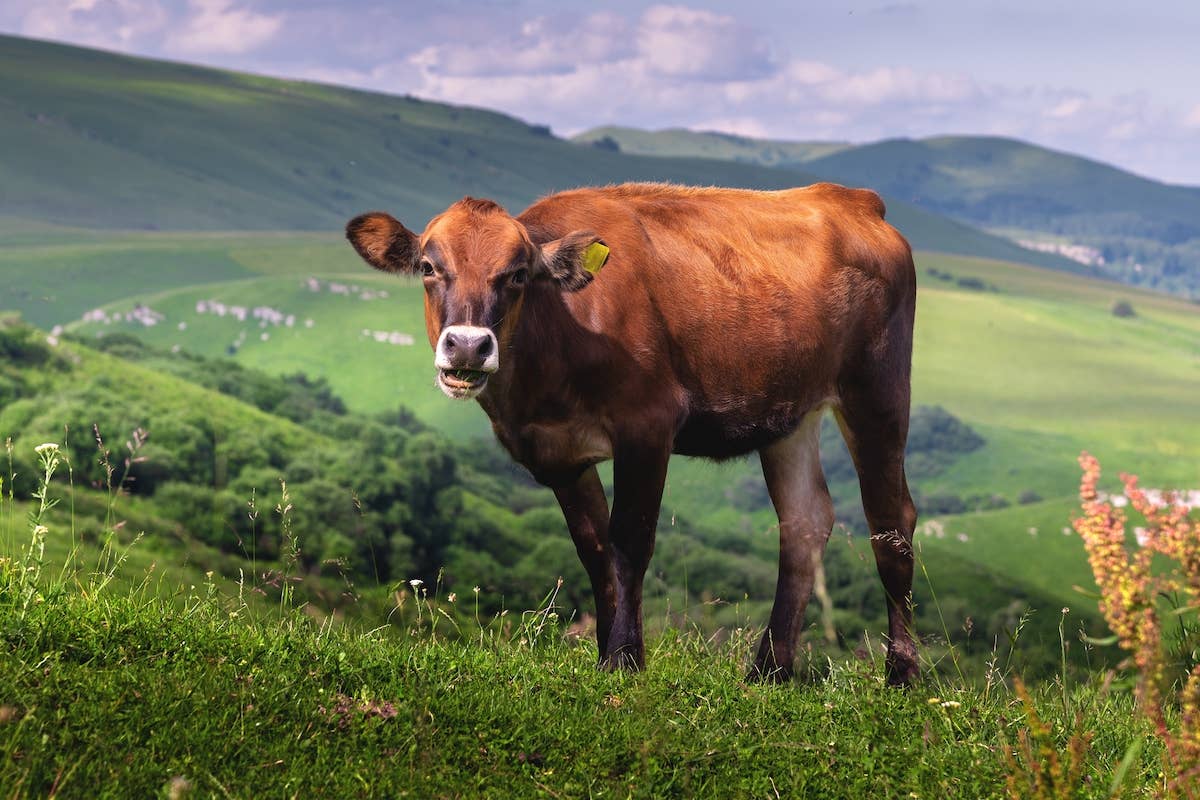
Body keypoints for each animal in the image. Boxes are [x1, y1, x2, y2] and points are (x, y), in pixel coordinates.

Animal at [346, 182, 919, 685]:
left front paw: (624, 661)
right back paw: (769, 672)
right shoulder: (560, 456)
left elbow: (630, 541)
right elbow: (595, 549)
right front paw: (610, 656)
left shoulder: (648, 425)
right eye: (428, 266)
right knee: (804, 522)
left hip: (877, 387)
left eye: (517, 273)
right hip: (789, 413)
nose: (467, 345)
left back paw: (901, 675)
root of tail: (852, 199)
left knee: (891, 521)